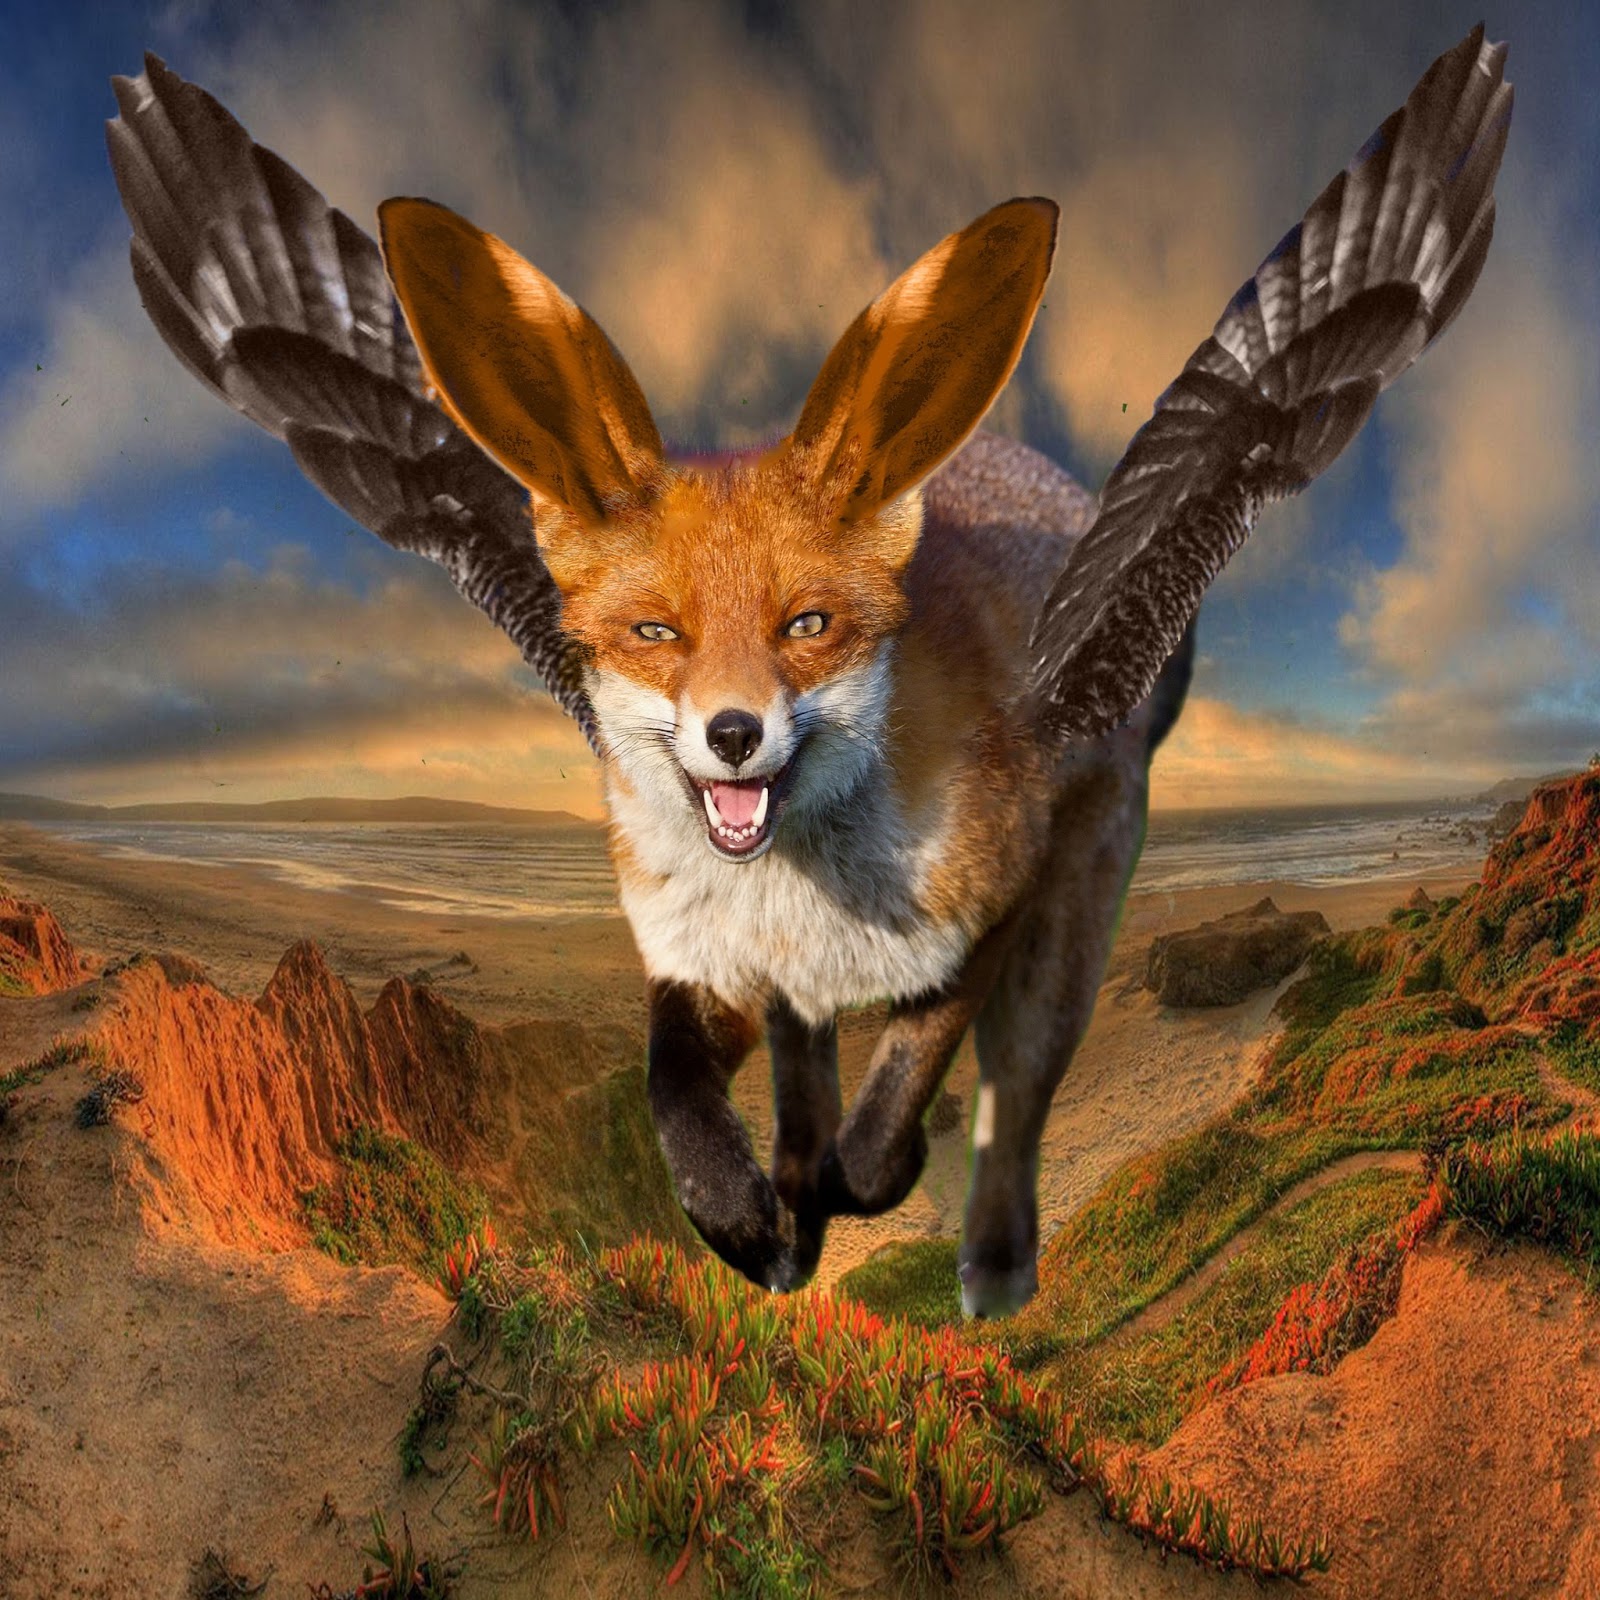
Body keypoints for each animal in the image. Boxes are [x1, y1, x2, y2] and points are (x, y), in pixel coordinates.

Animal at [109, 28, 1510, 1314]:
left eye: (809, 625)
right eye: (654, 634)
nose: (732, 733)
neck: (796, 903)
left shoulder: (981, 918)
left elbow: (894, 1127)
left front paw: (849, 1192)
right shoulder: (708, 969)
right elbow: (675, 1090)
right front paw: (741, 1217)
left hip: (1086, 877)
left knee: (1016, 1096)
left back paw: (989, 1264)